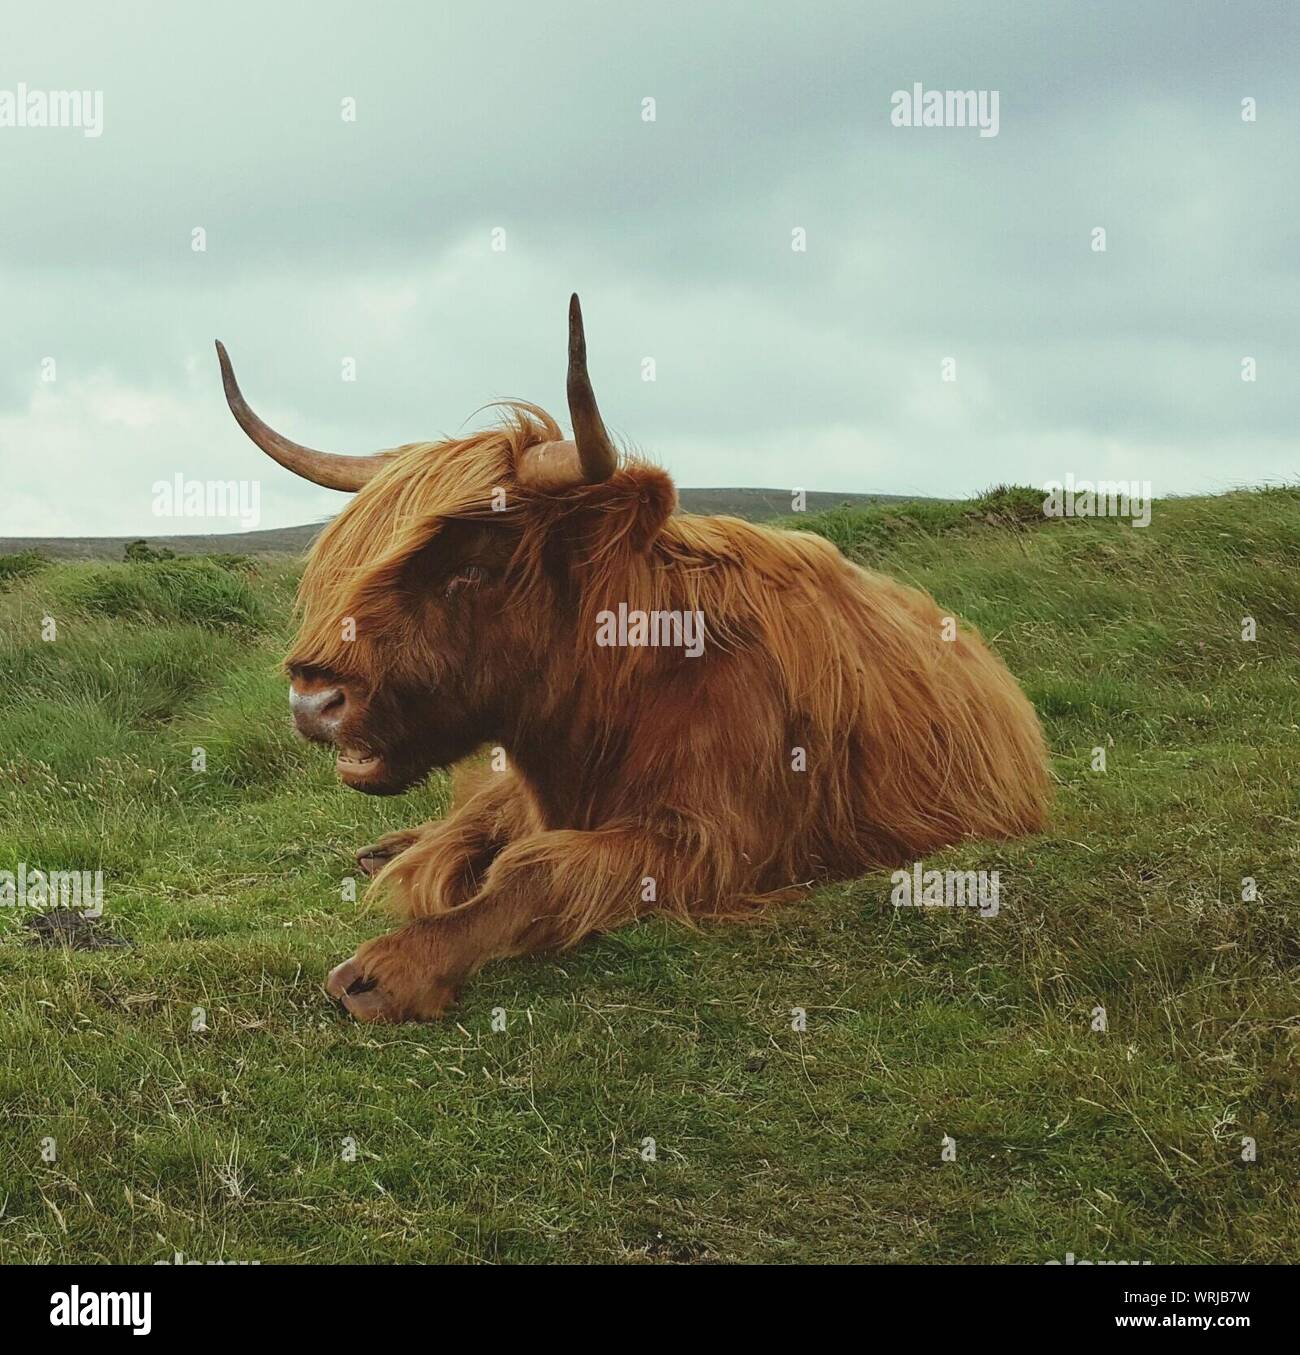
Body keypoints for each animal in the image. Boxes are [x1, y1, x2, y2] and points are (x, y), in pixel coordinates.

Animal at [216, 296, 1051, 1022]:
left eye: (474, 567)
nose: (313, 698)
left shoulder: (712, 842)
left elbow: (535, 870)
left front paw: (393, 966)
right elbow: (470, 846)